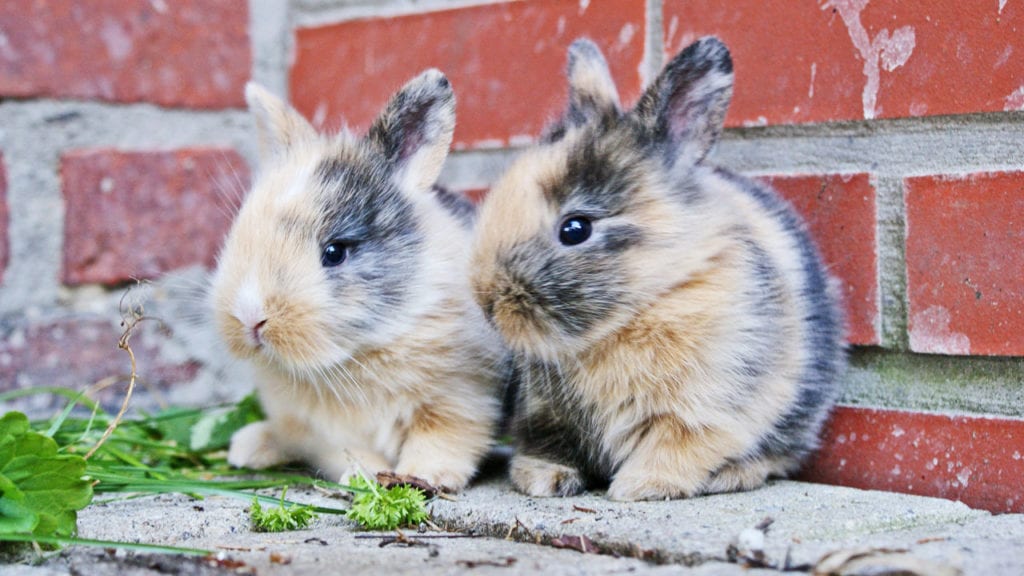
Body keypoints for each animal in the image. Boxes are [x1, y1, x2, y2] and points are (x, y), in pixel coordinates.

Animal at [210, 70, 506, 491]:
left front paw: (425, 475)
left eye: (335, 252)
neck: (360, 353)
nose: (250, 316)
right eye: (240, 234)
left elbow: (443, 438)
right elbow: (346, 452)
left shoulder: (463, 398)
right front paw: (365, 477)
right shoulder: (322, 431)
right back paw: (247, 448)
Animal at [470, 37, 846, 501]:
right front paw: (542, 479)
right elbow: (550, 446)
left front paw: (639, 488)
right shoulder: (545, 413)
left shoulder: (703, 409)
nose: (486, 300)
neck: (638, 308)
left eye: (575, 229)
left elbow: (676, 446)